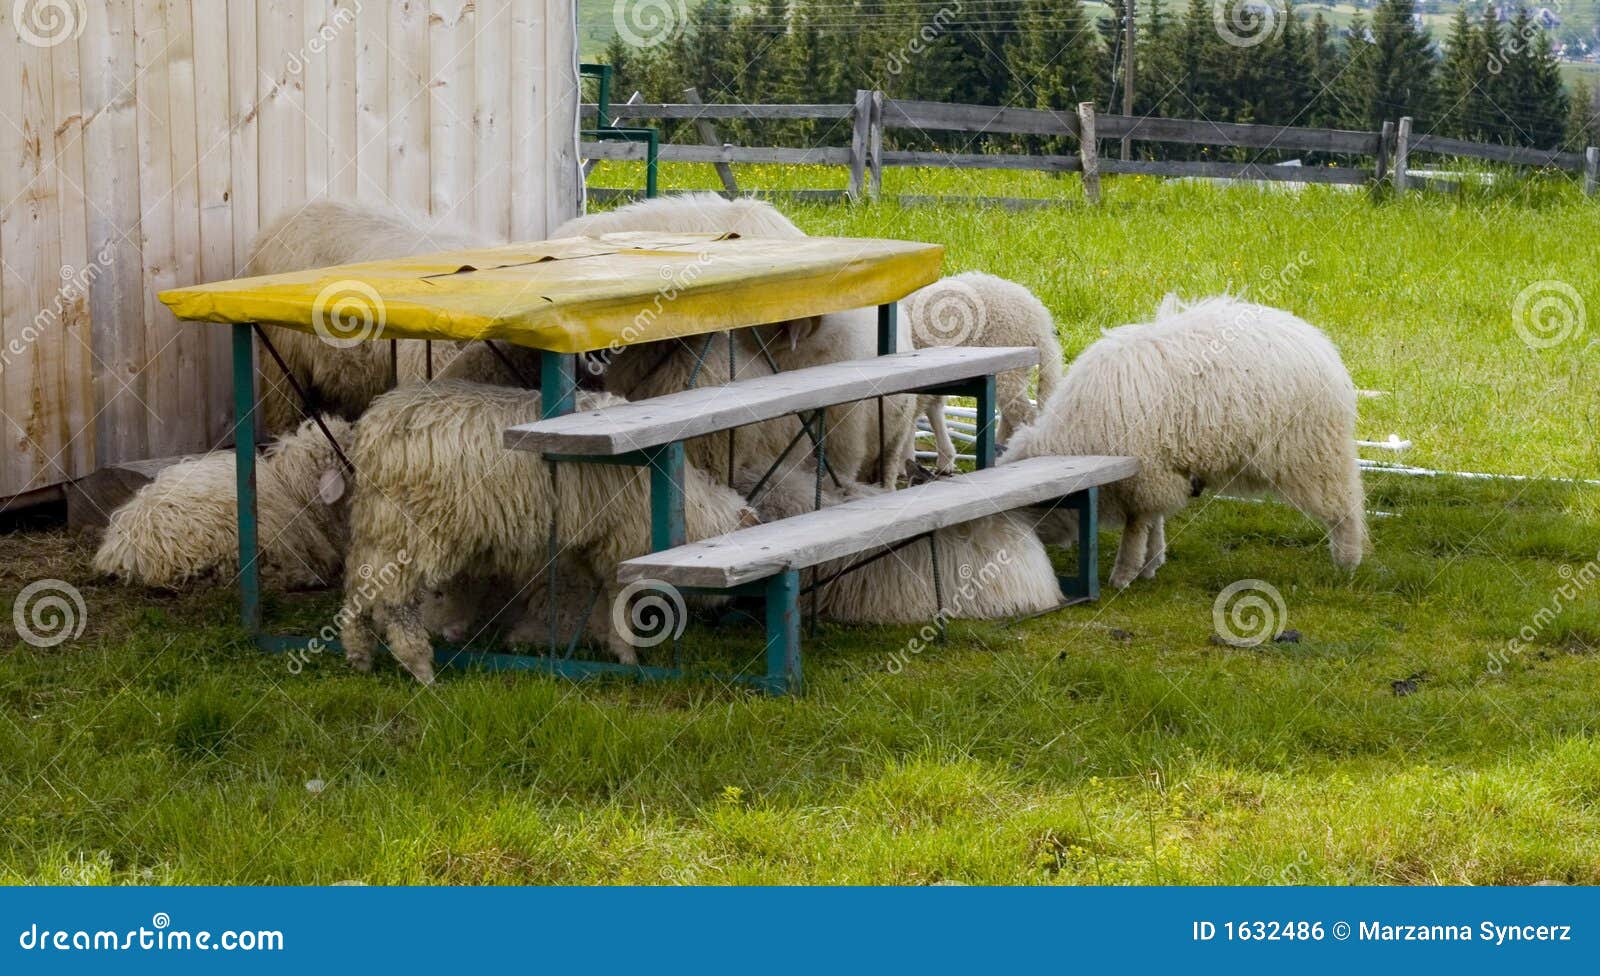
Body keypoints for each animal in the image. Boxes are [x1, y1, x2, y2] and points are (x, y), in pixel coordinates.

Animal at [332, 381, 757, 684]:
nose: (731, 603)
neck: (685, 505)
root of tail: (375, 428)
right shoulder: (619, 541)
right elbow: (619, 598)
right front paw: (627, 655)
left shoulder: (593, 544)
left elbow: (598, 595)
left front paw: (601, 642)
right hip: (414, 527)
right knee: (394, 601)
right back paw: (419, 667)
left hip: (380, 523)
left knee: (359, 586)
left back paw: (359, 656)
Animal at [904, 272, 1065, 474]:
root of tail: (1037, 316)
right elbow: (933, 410)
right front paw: (945, 459)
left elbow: (910, 419)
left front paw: (905, 461)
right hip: (1016, 371)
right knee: (1010, 413)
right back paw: (1000, 449)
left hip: (1007, 363)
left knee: (1024, 415)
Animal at [1003, 294, 1367, 589]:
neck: (1076, 434)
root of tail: (1319, 344)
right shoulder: (1158, 468)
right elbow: (1154, 520)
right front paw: (1152, 562)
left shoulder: (1142, 470)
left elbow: (1136, 525)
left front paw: (1125, 573)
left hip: (1312, 451)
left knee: (1346, 506)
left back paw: (1348, 560)